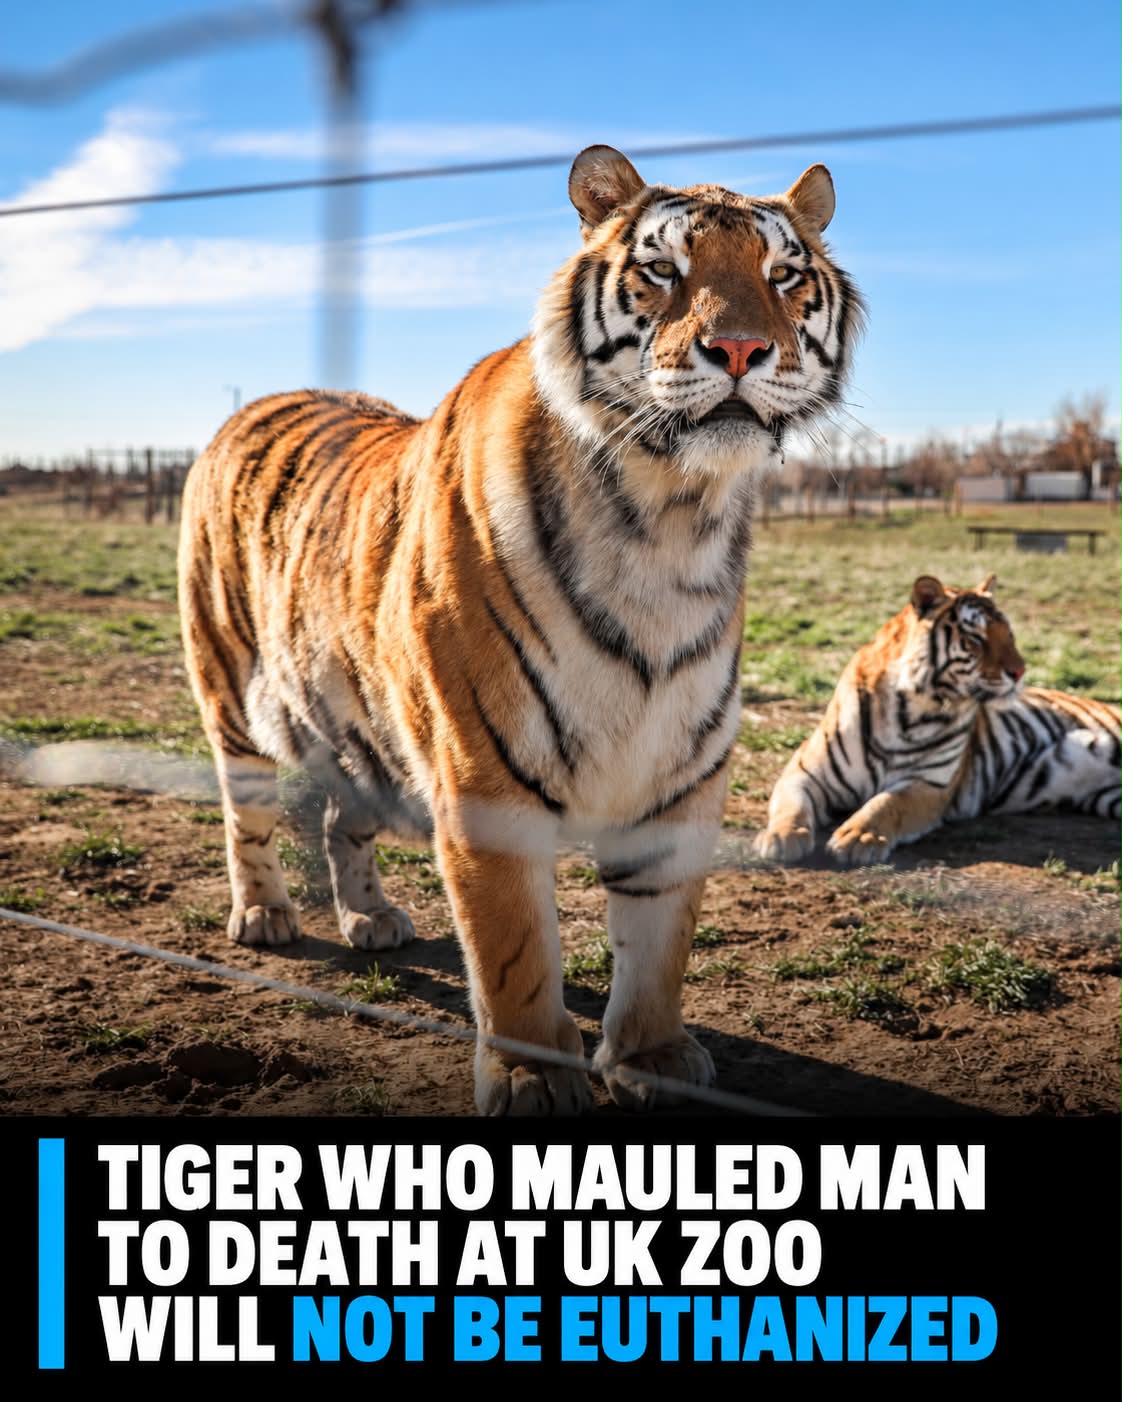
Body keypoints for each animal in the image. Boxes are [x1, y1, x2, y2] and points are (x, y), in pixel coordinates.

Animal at [178, 144, 863, 1115]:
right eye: (665, 269)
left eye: (784, 275)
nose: (738, 348)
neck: (670, 517)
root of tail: (255, 402)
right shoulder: (482, 773)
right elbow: (514, 949)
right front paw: (534, 1074)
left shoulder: (681, 774)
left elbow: (659, 941)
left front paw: (652, 1058)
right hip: (230, 687)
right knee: (249, 811)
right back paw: (266, 915)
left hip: (362, 722)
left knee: (344, 818)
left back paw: (370, 917)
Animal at [756, 573, 1122, 866]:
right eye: (977, 638)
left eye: (1010, 635)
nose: (1019, 672)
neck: (910, 707)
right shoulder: (804, 770)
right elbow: (791, 805)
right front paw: (780, 837)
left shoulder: (930, 784)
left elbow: (885, 803)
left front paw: (858, 837)